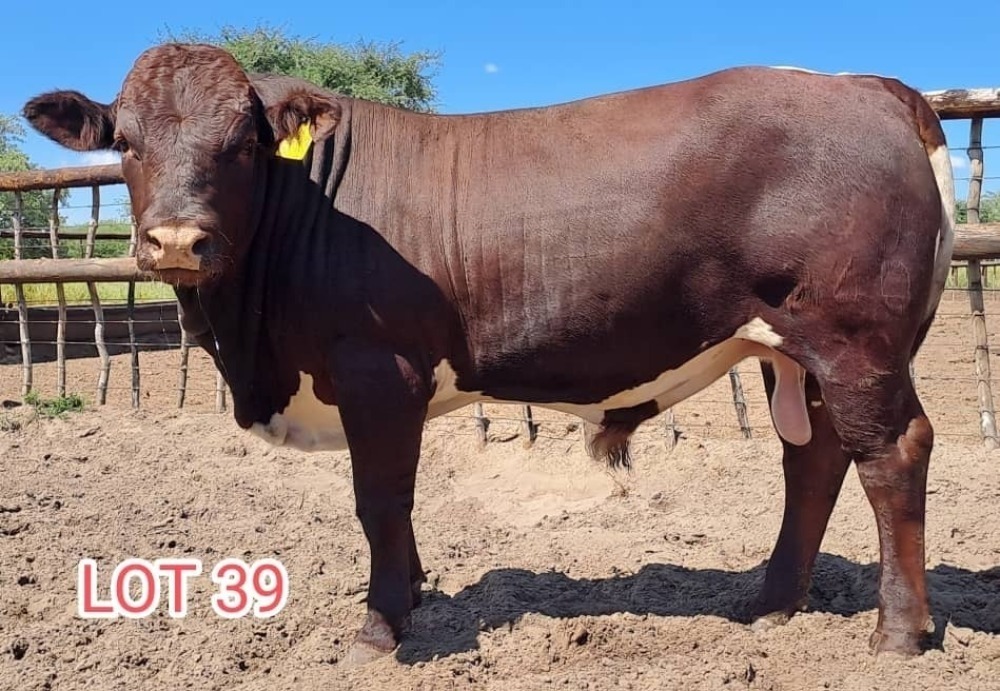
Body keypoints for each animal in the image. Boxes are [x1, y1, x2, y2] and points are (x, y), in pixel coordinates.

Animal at [23, 43, 955, 662]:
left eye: (243, 143)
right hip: (789, 350)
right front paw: (414, 592)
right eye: (127, 141)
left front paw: (380, 626)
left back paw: (897, 631)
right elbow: (392, 509)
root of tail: (864, 83)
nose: (178, 239)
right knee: (816, 458)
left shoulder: (379, 371)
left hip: (853, 340)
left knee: (892, 453)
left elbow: (381, 500)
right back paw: (768, 604)